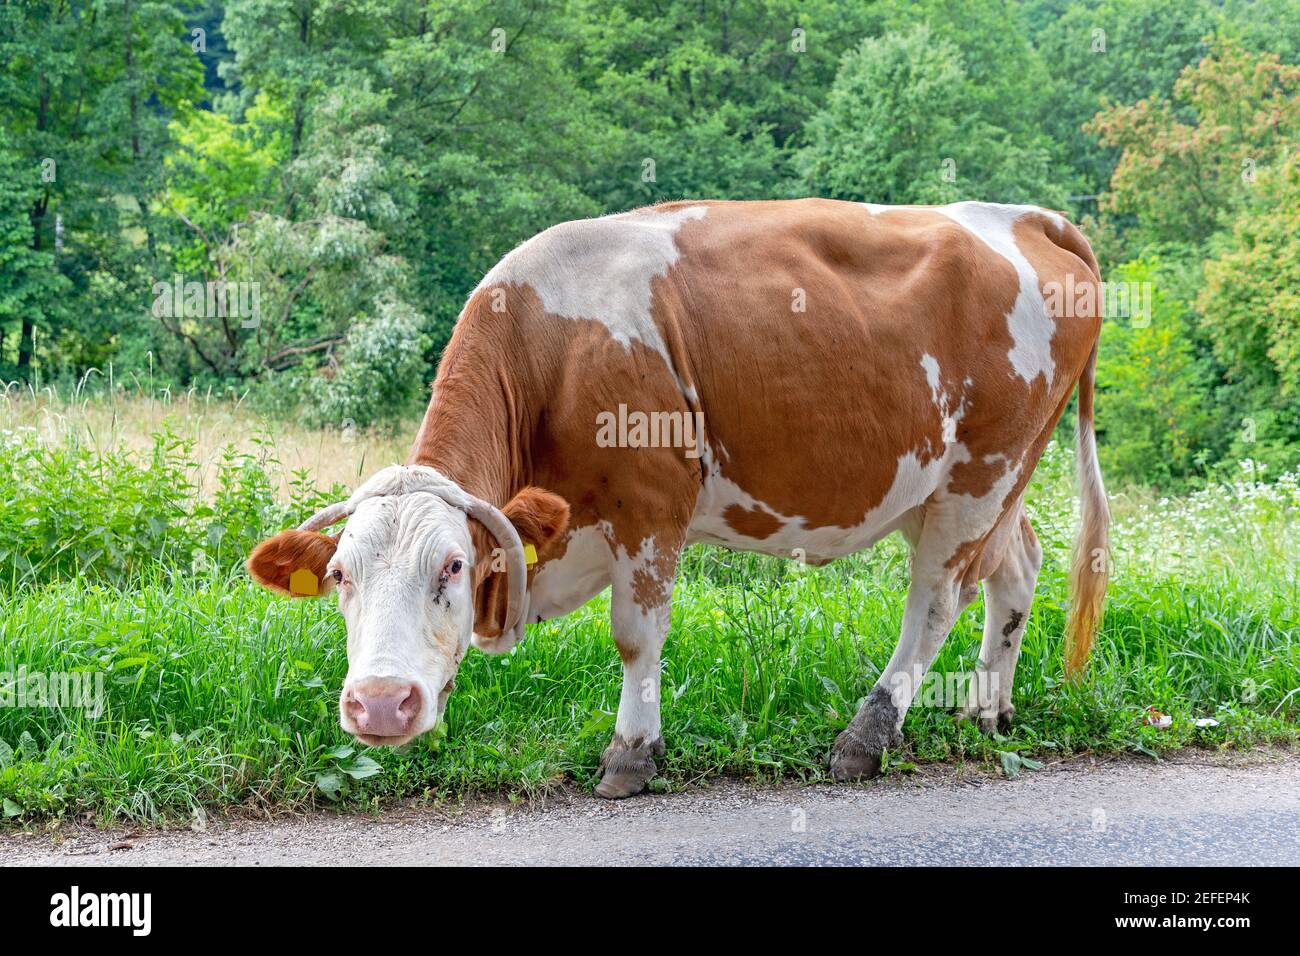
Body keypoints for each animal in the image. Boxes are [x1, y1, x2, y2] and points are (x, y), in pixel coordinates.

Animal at [247, 198, 1110, 799]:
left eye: (453, 566)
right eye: (340, 576)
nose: (379, 705)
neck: (552, 353)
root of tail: (1017, 215)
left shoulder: (651, 505)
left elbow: (635, 637)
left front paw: (632, 754)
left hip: (982, 470)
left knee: (934, 600)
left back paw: (866, 737)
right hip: (969, 481)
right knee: (1014, 571)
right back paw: (986, 709)